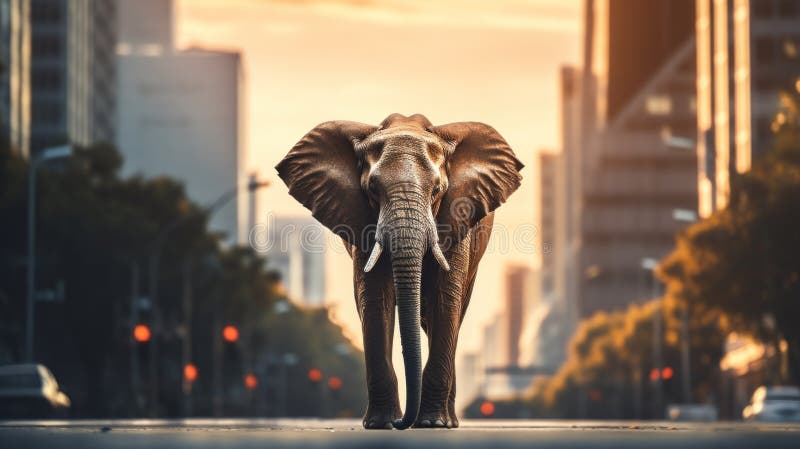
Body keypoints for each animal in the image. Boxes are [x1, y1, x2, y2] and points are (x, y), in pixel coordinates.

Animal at [275, 113, 523, 429]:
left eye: (438, 190)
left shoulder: (458, 217)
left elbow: (445, 299)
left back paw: (448, 421)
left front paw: (432, 424)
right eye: (371, 189)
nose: (402, 422)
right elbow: (375, 299)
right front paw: (380, 424)